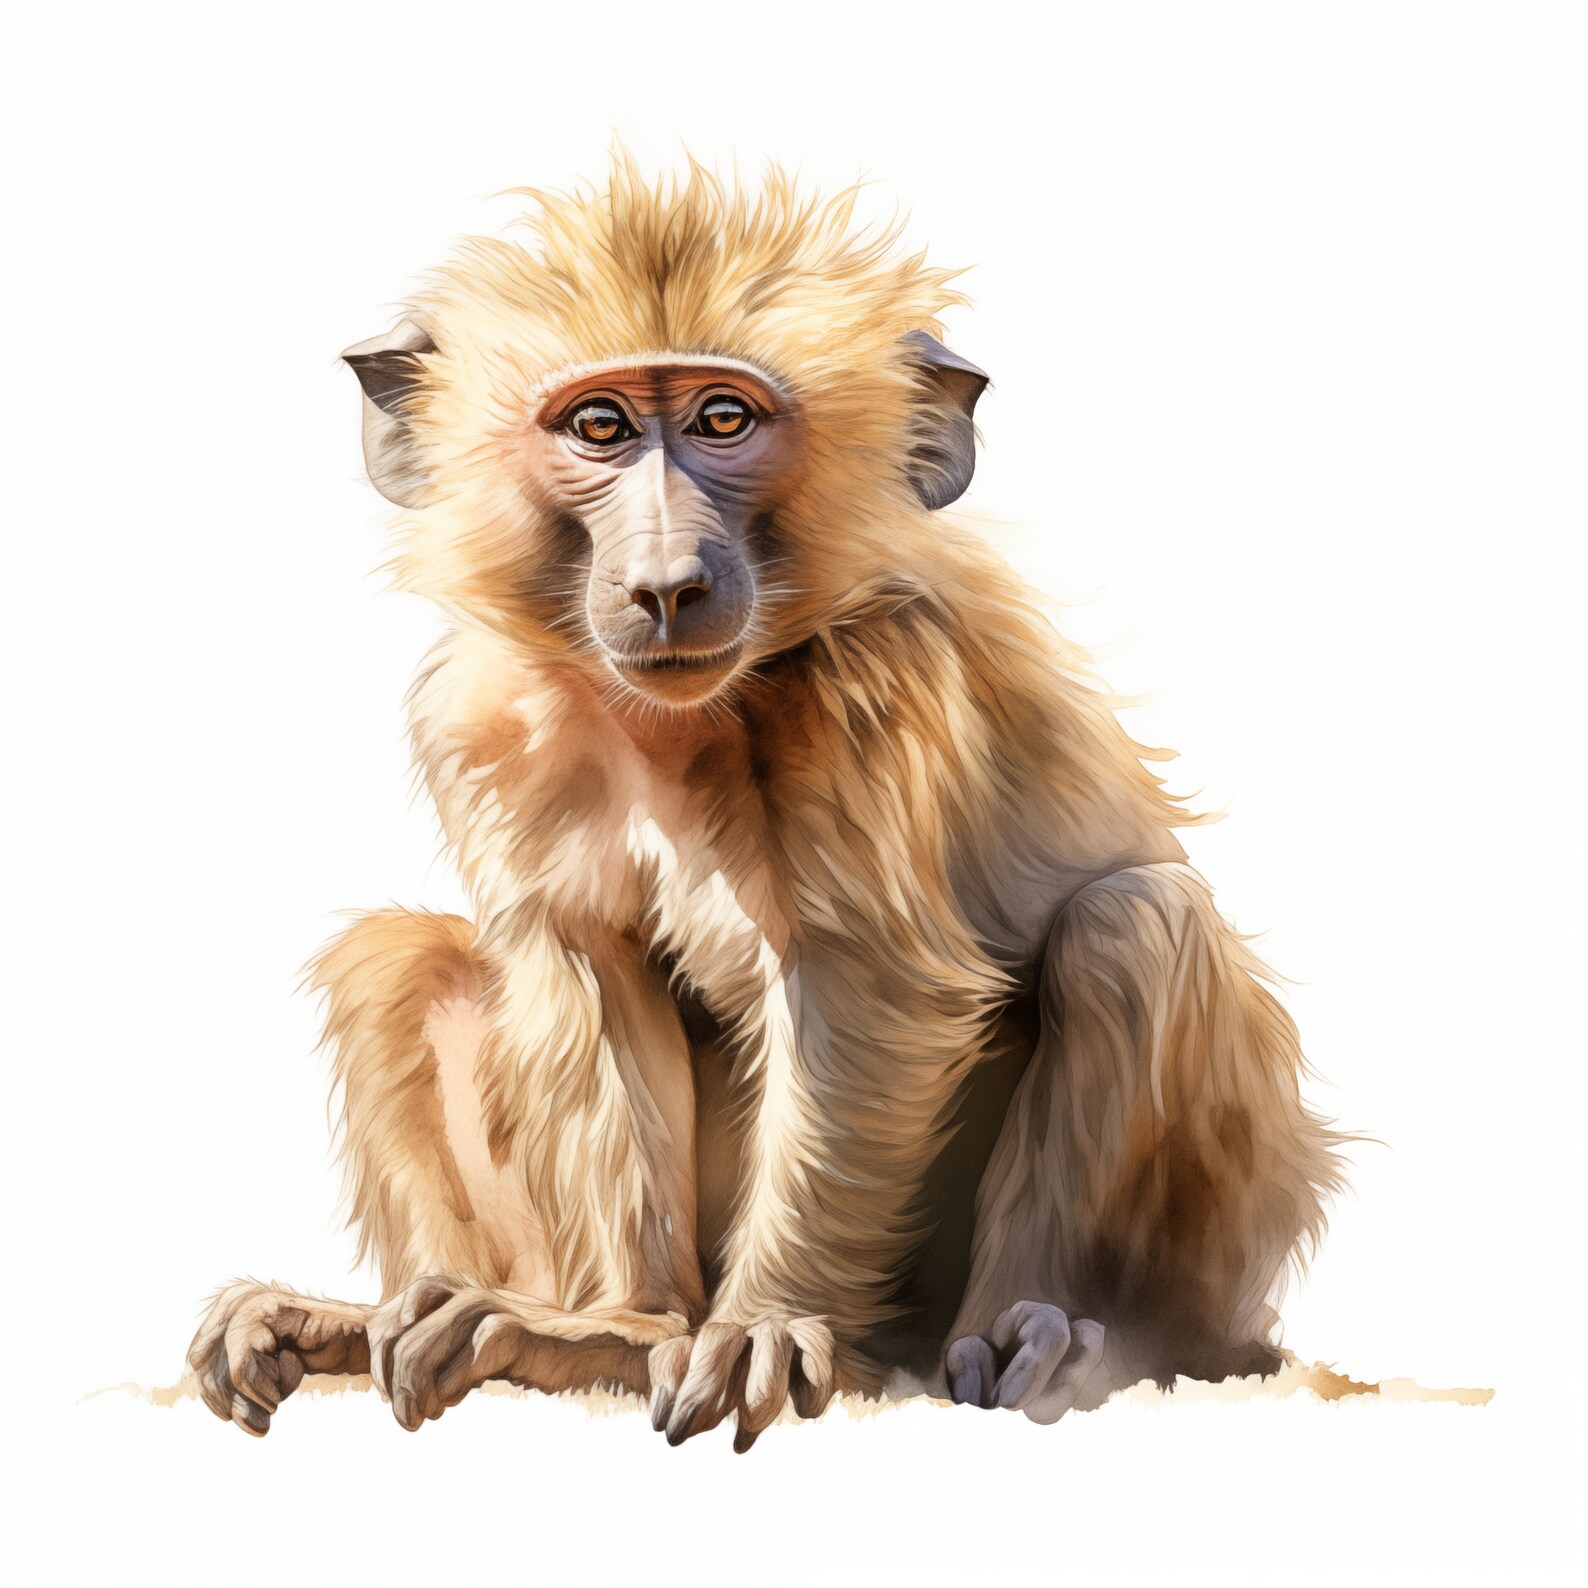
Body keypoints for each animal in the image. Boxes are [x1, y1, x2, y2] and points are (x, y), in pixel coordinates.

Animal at [187, 158, 1343, 1448]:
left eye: (723, 422)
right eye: (599, 427)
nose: (667, 583)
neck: (675, 729)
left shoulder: (880, 684)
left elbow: (867, 981)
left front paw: (761, 1326)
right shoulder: (482, 718)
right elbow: (591, 976)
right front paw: (609, 1328)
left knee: (1134, 926)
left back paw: (1047, 1340)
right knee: (397, 962)